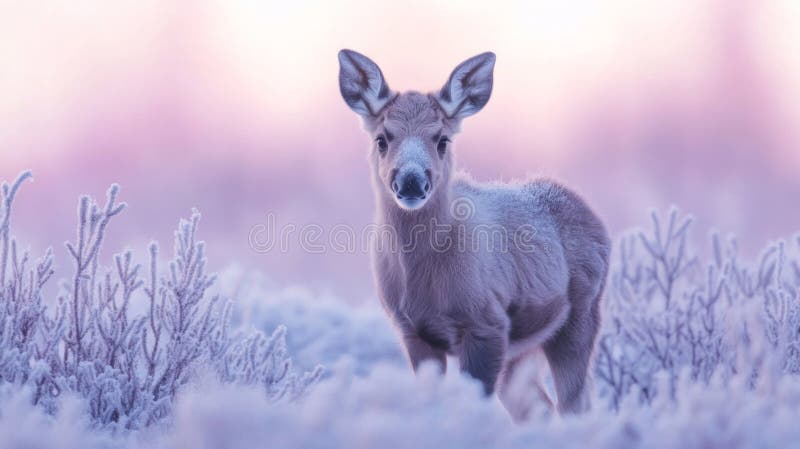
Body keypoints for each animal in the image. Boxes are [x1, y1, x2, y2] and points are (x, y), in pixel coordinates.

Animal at [337, 49, 610, 419]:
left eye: (442, 139)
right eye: (382, 138)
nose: (411, 182)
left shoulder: (487, 324)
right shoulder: (414, 332)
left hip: (580, 315)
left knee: (574, 403)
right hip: (523, 348)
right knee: (540, 406)